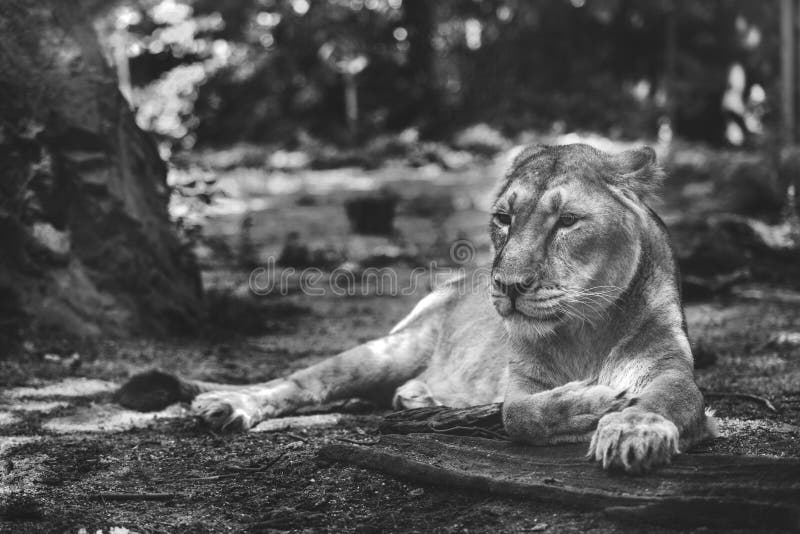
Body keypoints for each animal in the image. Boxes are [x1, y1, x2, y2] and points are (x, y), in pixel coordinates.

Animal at [117, 143, 717, 473]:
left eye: (568, 221)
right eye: (503, 219)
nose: (508, 285)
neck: (583, 329)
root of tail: (454, 284)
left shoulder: (673, 372)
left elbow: (662, 399)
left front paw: (634, 431)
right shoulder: (521, 383)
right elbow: (518, 414)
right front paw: (595, 403)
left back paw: (421, 397)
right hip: (388, 348)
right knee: (300, 383)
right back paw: (228, 405)